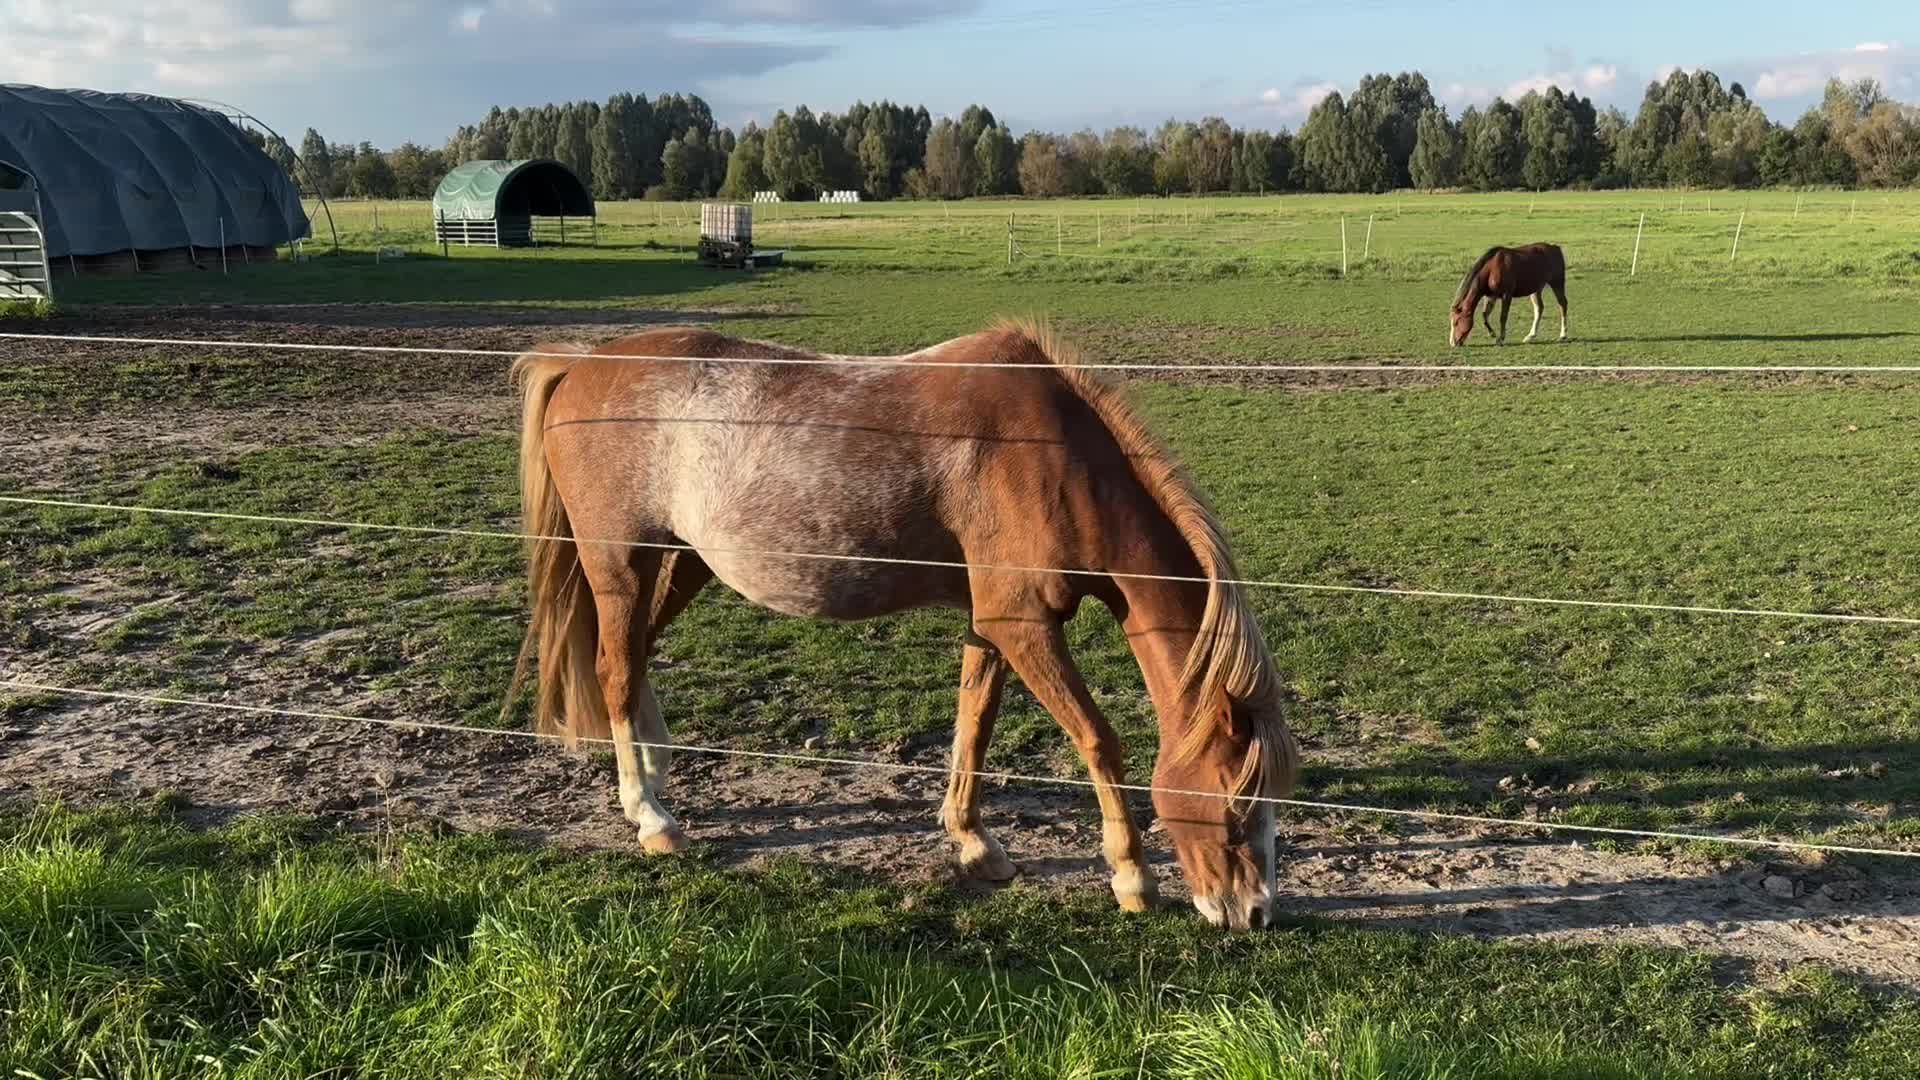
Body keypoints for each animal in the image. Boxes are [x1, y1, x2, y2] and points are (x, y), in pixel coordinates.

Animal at [501, 319, 1300, 930]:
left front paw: (975, 846)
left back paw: (657, 778)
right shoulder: (1023, 625)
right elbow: (1099, 742)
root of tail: (580, 364)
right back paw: (651, 818)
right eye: (1237, 804)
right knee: (614, 669)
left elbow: (973, 727)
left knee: (634, 658)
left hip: (682, 562)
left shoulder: (992, 625)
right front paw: (1132, 877)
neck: (1053, 458)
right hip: (620, 563)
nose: (1255, 913)